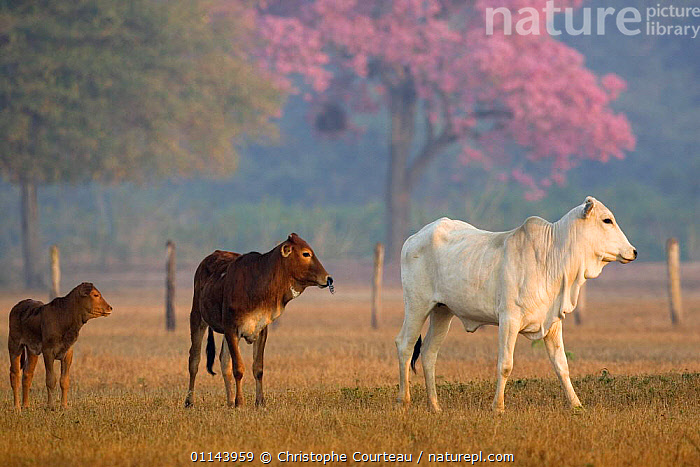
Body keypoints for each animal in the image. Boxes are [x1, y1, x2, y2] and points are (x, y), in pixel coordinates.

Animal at [184, 233, 333, 408]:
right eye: (306, 254)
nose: (328, 278)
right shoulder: (232, 329)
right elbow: (238, 369)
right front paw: (240, 402)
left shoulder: (261, 329)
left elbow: (258, 368)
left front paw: (260, 402)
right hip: (197, 317)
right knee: (194, 360)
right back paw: (189, 402)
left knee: (223, 361)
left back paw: (229, 402)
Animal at [396, 196, 637, 413]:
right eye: (607, 220)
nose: (633, 251)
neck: (551, 257)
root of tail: (412, 239)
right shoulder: (509, 319)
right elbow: (505, 364)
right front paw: (498, 407)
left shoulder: (552, 323)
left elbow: (562, 365)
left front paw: (577, 405)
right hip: (417, 305)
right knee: (405, 345)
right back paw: (403, 401)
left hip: (442, 311)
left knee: (428, 352)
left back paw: (435, 406)